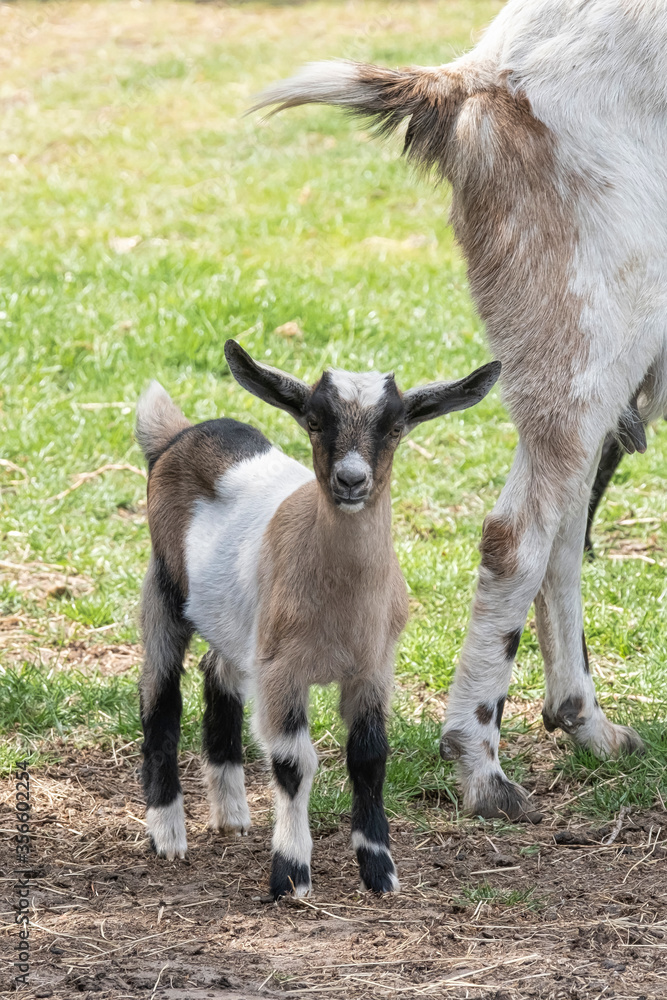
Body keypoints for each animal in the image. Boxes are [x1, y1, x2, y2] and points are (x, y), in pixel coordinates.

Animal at [136, 340, 500, 897]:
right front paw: (291, 874)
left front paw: (380, 870)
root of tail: (177, 436)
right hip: (164, 588)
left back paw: (231, 813)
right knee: (160, 697)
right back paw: (168, 834)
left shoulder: (373, 667)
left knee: (217, 675)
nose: (351, 480)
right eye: (313, 420)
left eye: (395, 426)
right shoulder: (282, 670)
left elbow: (369, 757)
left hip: (237, 625)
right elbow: (293, 762)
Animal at [253, 0, 667, 821]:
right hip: (598, 330)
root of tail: (478, 76)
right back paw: (480, 764)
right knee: (518, 536)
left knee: (561, 531)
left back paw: (584, 723)